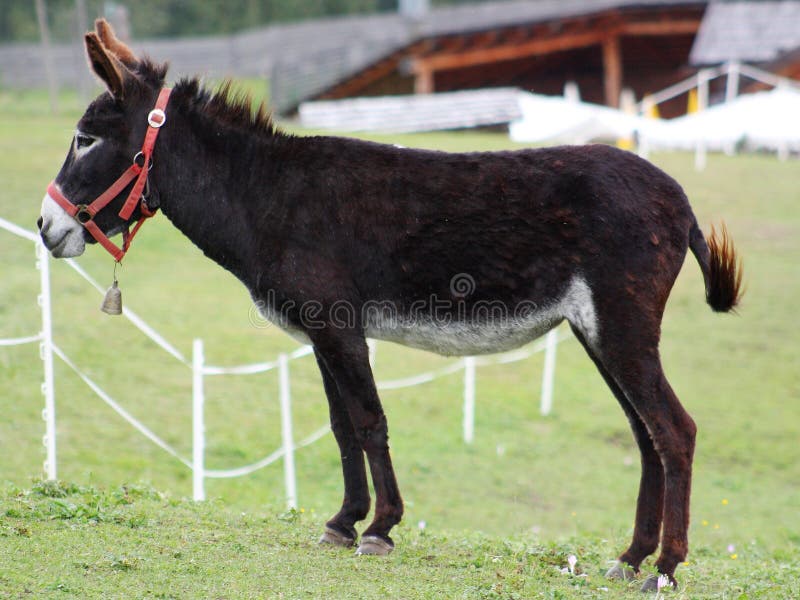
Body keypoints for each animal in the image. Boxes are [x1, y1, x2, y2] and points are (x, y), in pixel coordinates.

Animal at [37, 20, 742, 591]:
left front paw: (379, 528)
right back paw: (630, 558)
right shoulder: (321, 332)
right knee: (646, 435)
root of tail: (679, 202)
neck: (266, 194)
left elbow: (369, 421)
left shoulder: (341, 327)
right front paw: (343, 522)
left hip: (622, 326)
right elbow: (341, 426)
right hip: (597, 331)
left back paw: (666, 568)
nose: (46, 228)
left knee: (675, 431)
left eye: (84, 139)